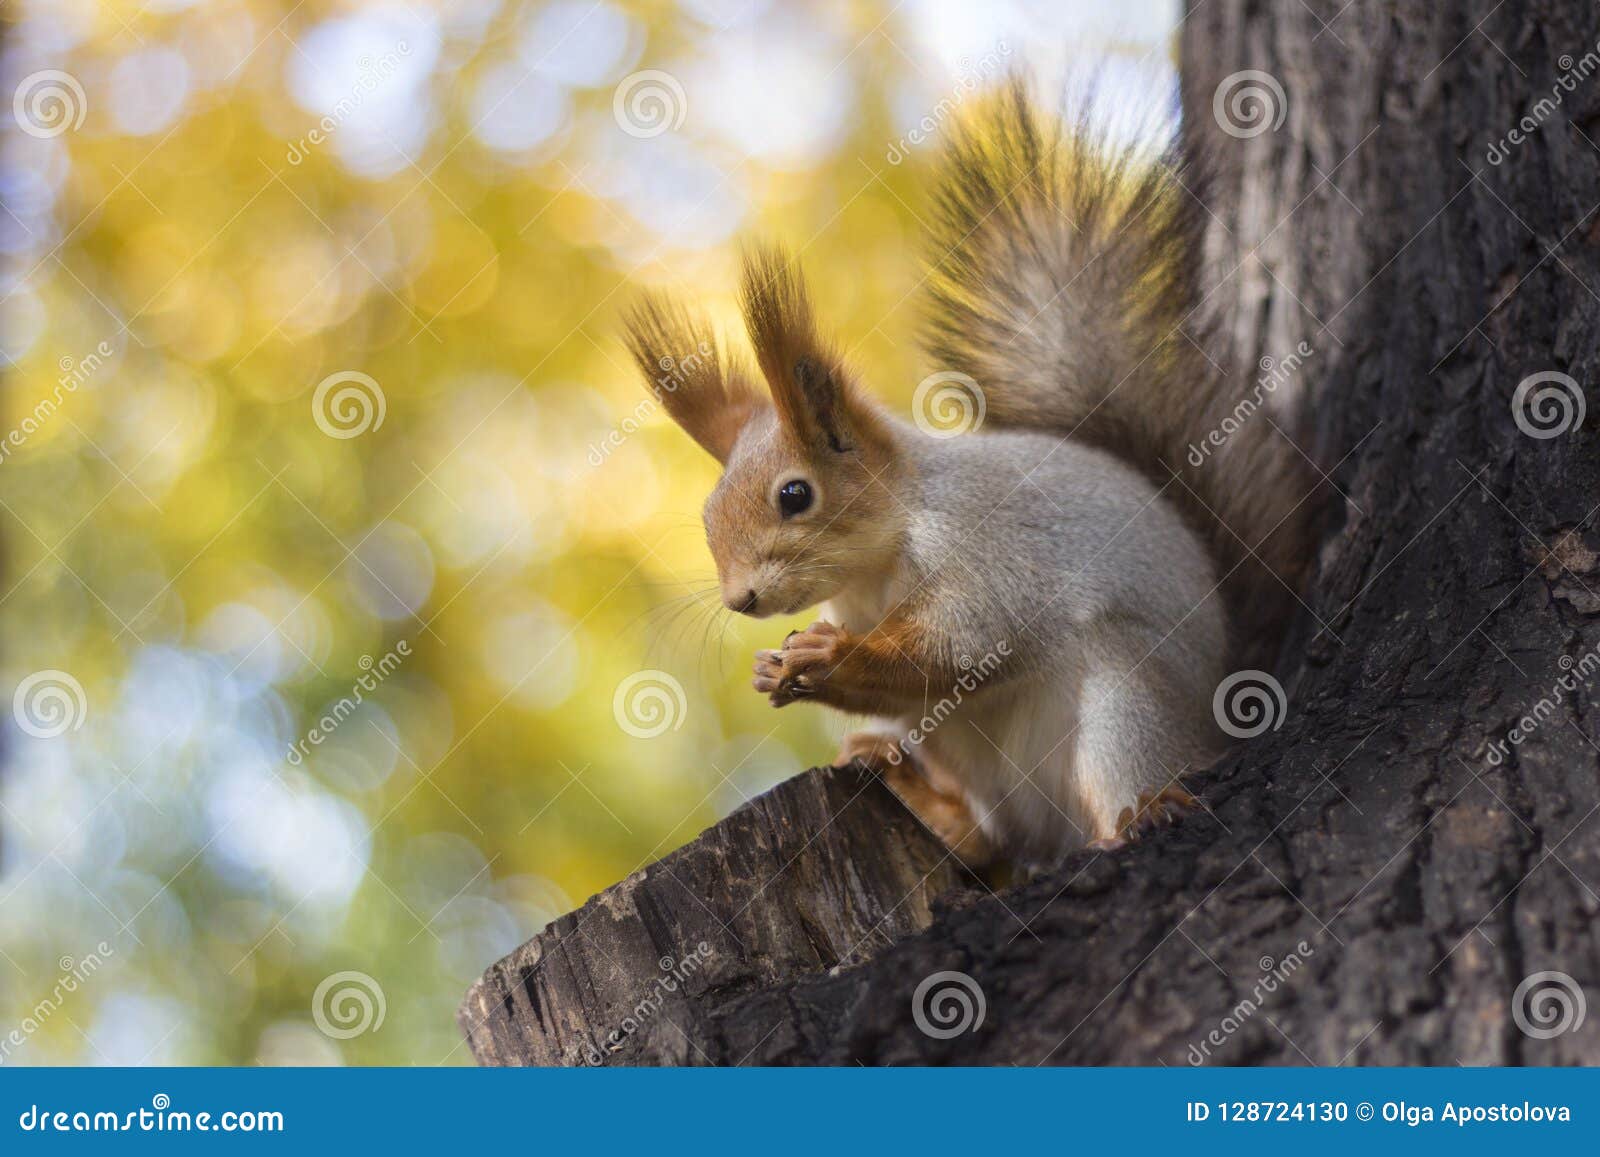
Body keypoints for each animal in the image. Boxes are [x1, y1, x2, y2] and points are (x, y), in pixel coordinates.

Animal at [622, 81, 1313, 872]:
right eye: (708, 517)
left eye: (795, 495)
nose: (740, 599)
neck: (879, 562)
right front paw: (780, 671)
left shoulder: (988, 554)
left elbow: (968, 644)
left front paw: (826, 657)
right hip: (957, 746)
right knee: (990, 839)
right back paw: (923, 797)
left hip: (1128, 704)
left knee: (1128, 768)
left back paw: (1140, 812)